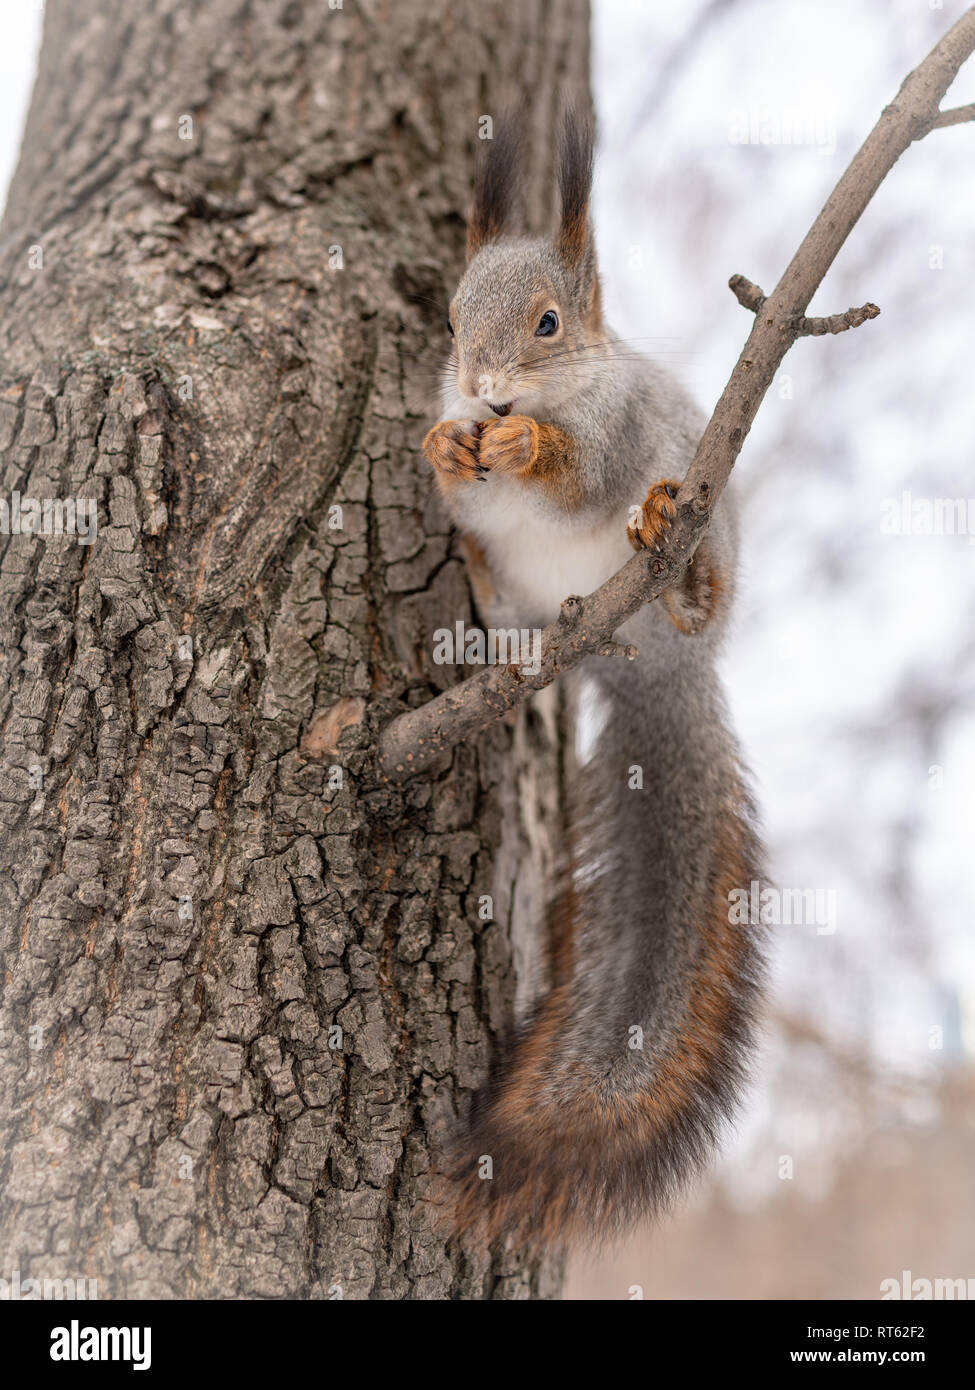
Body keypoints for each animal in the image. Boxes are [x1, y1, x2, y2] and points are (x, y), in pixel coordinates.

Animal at [422, 109, 766, 1247]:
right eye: (449, 321)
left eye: (547, 322)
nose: (485, 392)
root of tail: (659, 667)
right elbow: (457, 481)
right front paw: (445, 443)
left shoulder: (616, 433)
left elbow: (579, 474)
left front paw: (528, 440)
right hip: (533, 610)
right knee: (508, 606)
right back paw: (490, 585)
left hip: (700, 552)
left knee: (694, 583)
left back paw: (677, 559)